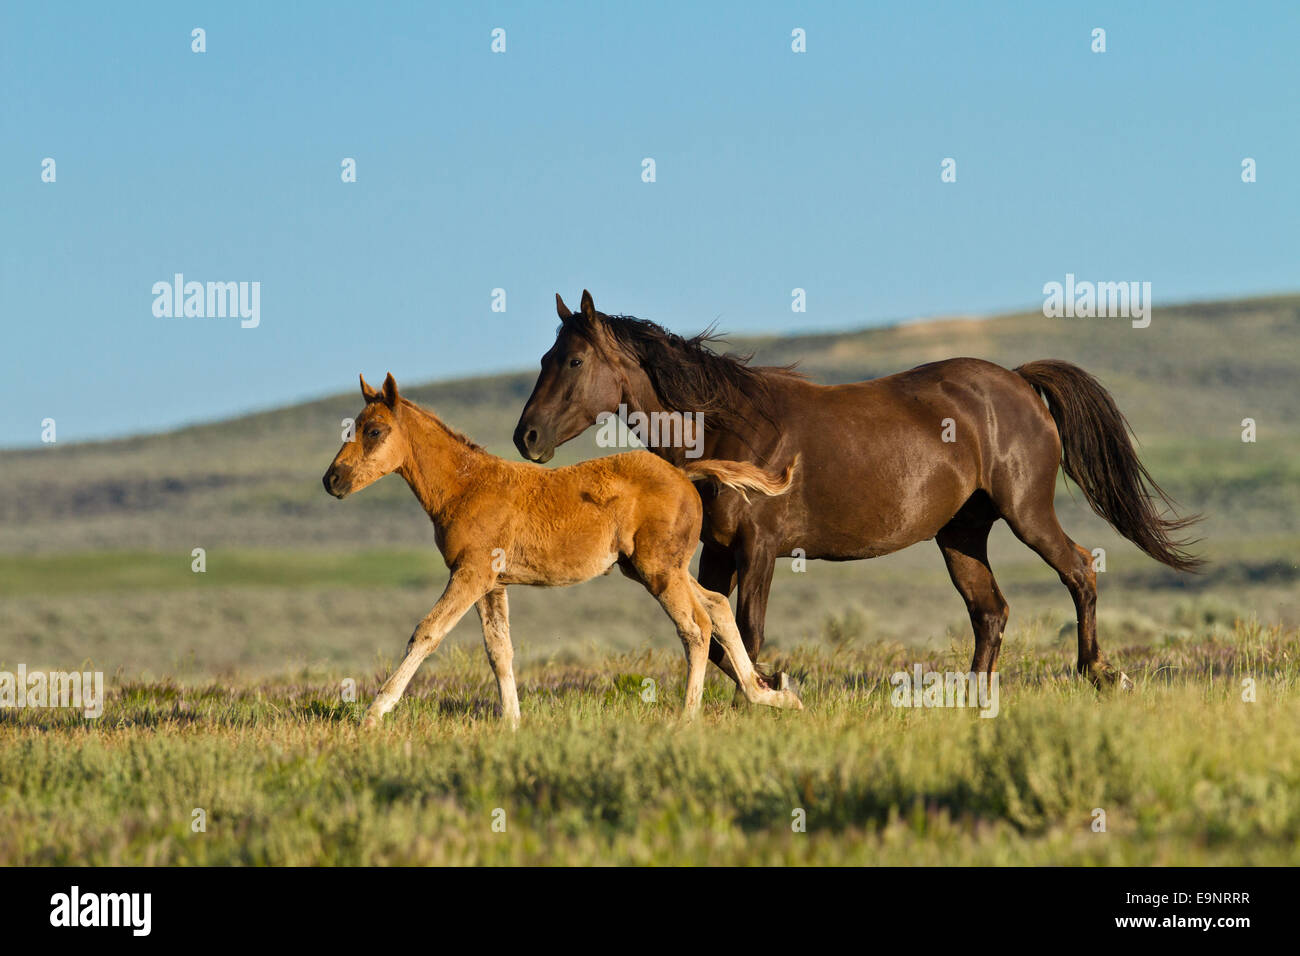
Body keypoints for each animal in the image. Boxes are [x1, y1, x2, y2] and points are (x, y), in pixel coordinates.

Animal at [322, 372, 803, 727]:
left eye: (375, 430)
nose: (332, 480)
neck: (466, 486)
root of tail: (686, 475)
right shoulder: (492, 582)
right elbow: (499, 651)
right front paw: (512, 723)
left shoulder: (470, 573)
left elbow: (426, 632)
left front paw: (373, 713)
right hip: (655, 566)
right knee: (718, 606)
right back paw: (772, 697)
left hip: (658, 570)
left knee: (696, 627)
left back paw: (688, 717)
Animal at [513, 291, 1203, 691]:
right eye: (545, 357)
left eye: (573, 361)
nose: (527, 436)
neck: (729, 426)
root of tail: (1018, 382)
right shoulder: (718, 551)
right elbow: (719, 636)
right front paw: (760, 690)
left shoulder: (761, 550)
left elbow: (748, 632)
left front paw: (769, 687)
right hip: (960, 535)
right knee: (991, 611)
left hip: (1026, 512)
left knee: (1079, 570)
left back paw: (1099, 673)